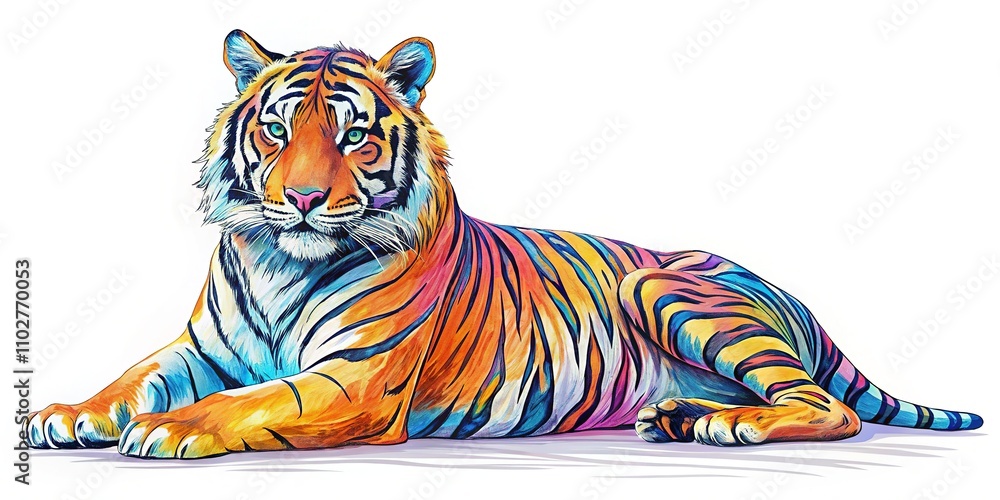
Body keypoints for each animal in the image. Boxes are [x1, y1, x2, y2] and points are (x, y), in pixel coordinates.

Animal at [25, 31, 982, 459]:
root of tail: (795, 297)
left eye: (353, 136)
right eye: (277, 130)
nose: (299, 199)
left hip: (662, 289)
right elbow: (136, 373)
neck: (277, 263)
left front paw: (163, 430)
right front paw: (68, 413)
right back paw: (680, 417)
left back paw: (727, 425)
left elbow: (250, 402)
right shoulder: (202, 347)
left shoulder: (355, 379)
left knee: (828, 409)